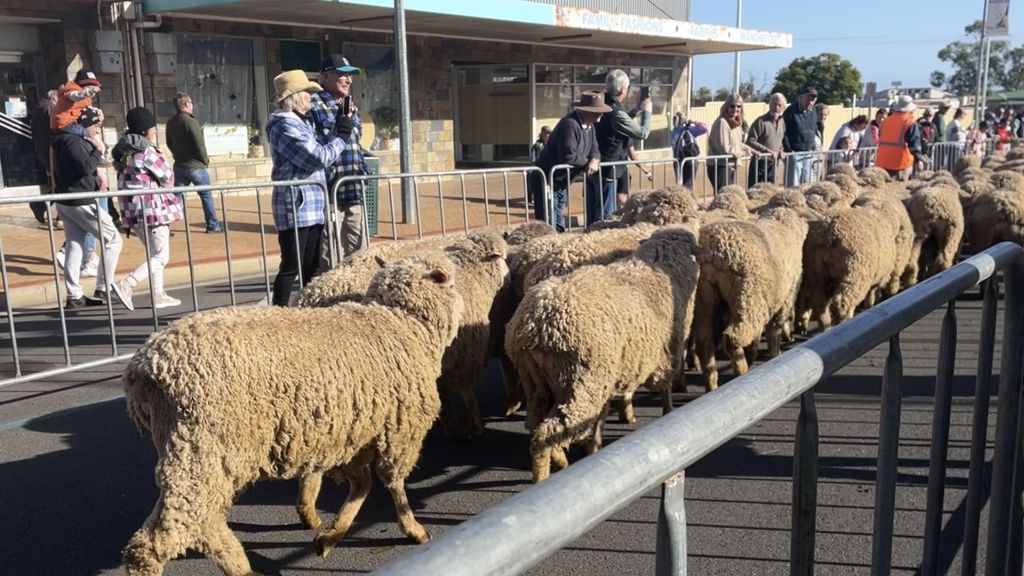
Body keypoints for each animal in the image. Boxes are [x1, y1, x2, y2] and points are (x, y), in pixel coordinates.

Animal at [122, 253, 464, 576]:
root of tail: (143, 369)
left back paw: (242, 566)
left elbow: (361, 485)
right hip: (206, 446)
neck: (401, 321)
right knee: (161, 538)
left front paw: (329, 535)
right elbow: (393, 484)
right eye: (450, 282)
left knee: (195, 522)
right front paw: (413, 529)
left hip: (190, 452)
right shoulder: (400, 430)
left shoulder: (350, 431)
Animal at [505, 226, 704, 482]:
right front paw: (668, 416)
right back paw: (544, 476)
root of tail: (535, 325)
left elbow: (604, 412)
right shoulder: (668, 351)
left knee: (535, 423)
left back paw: (560, 458)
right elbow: (666, 389)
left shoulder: (618, 365)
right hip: (581, 382)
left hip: (537, 379)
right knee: (546, 434)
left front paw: (595, 445)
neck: (662, 265)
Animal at [693, 207, 809, 391]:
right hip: (748, 296)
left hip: (703, 301)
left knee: (704, 345)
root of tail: (712, 248)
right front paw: (775, 355)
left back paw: (712, 386)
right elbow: (773, 332)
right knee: (732, 338)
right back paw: (742, 371)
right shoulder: (784, 300)